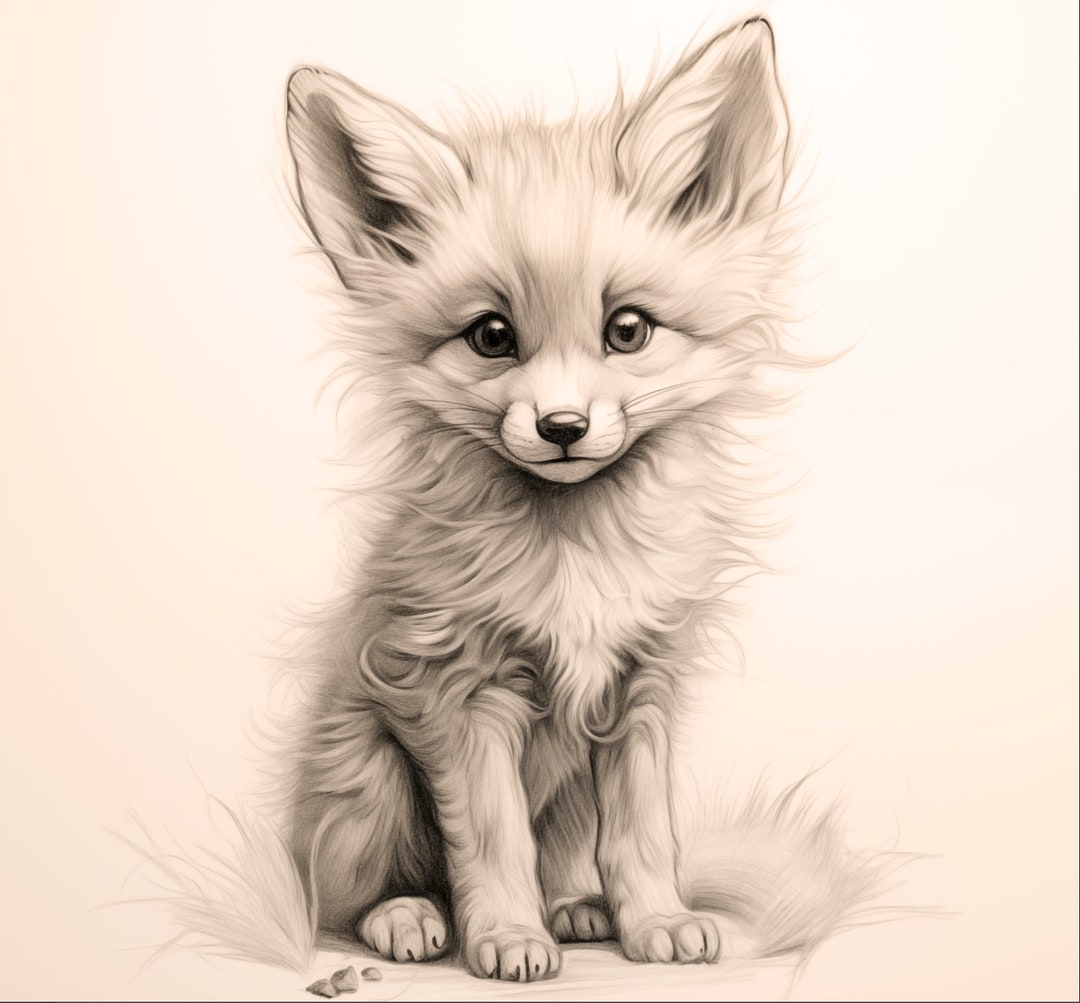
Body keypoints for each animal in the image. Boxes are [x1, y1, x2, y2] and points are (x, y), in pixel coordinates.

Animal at [283, 16, 811, 983]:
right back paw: (410, 916)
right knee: (343, 897)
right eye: (492, 336)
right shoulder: (462, 690)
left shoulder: (639, 688)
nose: (563, 425)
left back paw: (573, 907)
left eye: (627, 330)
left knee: (565, 847)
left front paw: (656, 921)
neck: (577, 558)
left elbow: (641, 835)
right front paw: (505, 938)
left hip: (561, 783)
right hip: (368, 774)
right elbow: (493, 844)